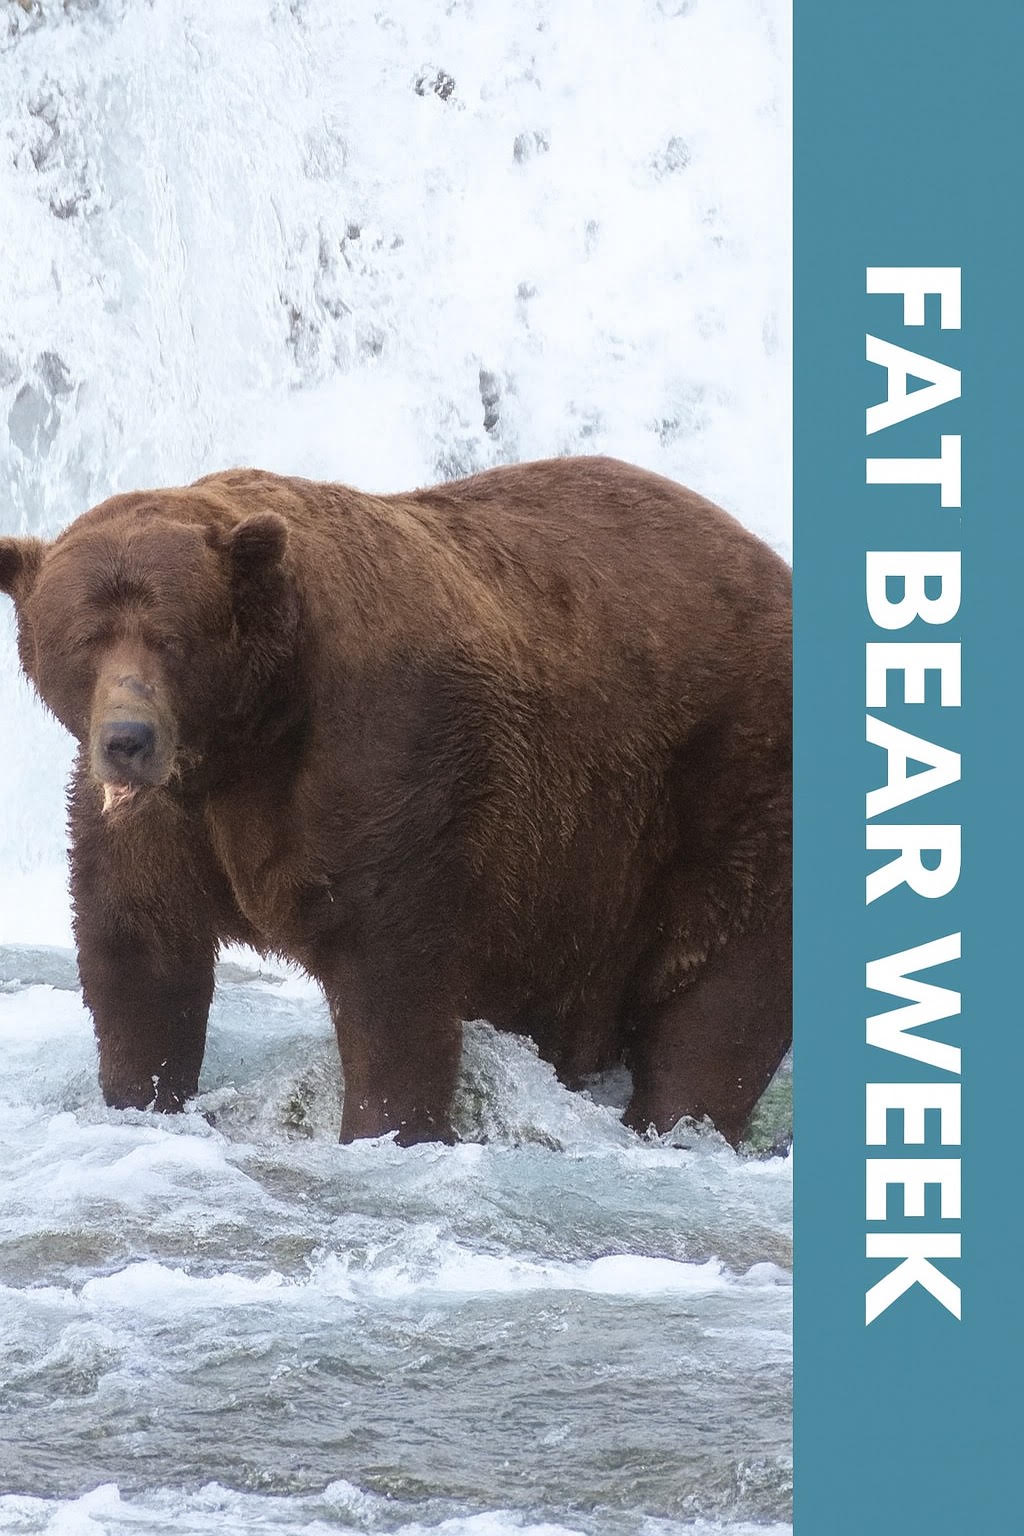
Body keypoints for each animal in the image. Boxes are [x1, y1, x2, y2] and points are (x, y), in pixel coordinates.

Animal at [0, 456, 791, 1146]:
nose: (127, 739)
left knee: (726, 983)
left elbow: (391, 977)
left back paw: (677, 1121)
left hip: (722, 776)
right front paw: (141, 1097)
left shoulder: (386, 759)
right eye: (86, 639)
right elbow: (141, 948)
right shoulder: (163, 820)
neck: (249, 737)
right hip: (578, 879)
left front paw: (388, 1129)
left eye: (171, 637)